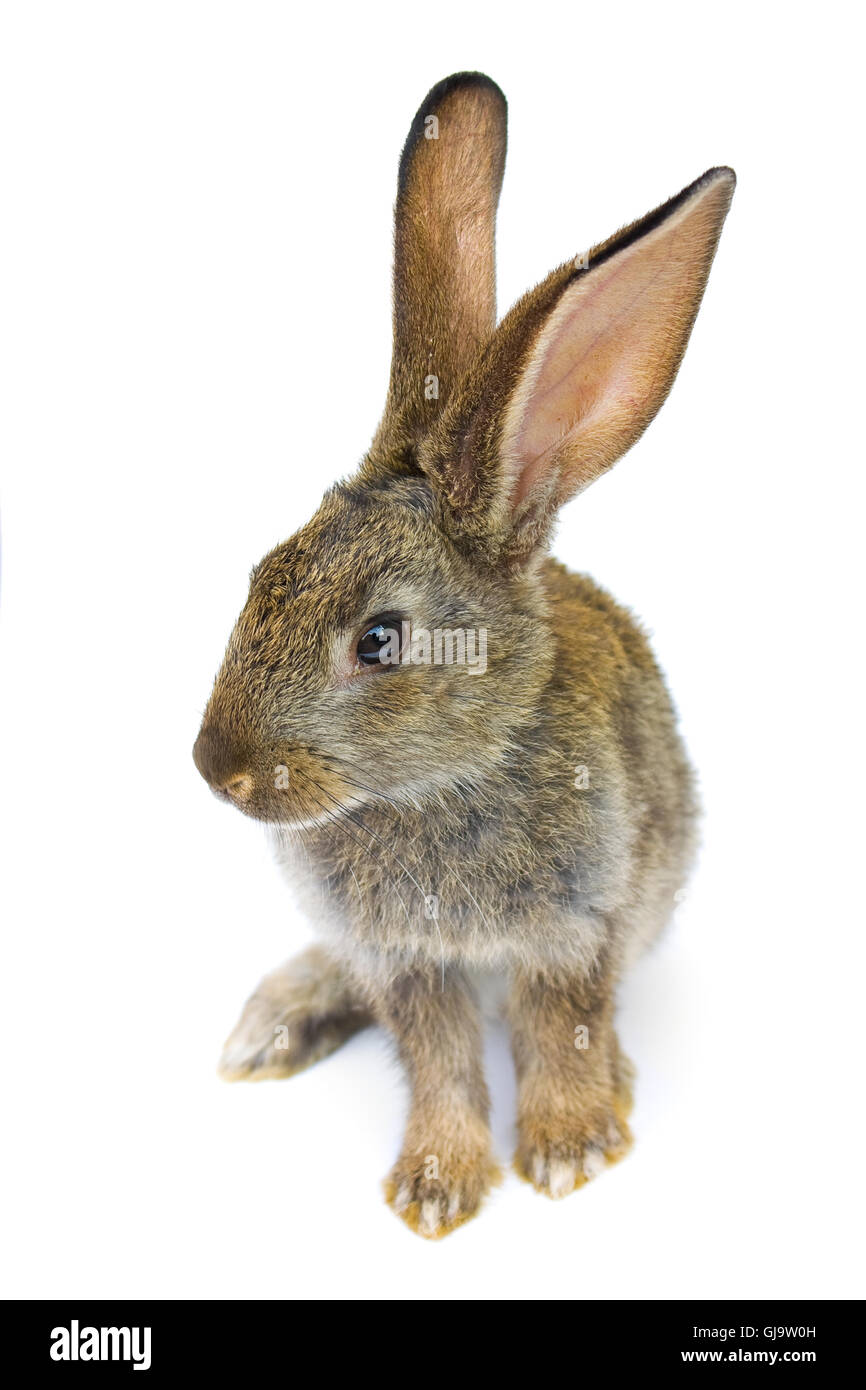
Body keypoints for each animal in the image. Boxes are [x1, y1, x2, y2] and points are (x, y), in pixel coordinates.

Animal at [193, 71, 734, 1239]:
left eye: (379, 640)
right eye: (258, 575)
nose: (218, 770)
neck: (447, 776)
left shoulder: (576, 930)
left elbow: (562, 1027)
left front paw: (571, 1150)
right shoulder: (407, 963)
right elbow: (435, 1060)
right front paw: (436, 1186)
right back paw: (272, 1027)